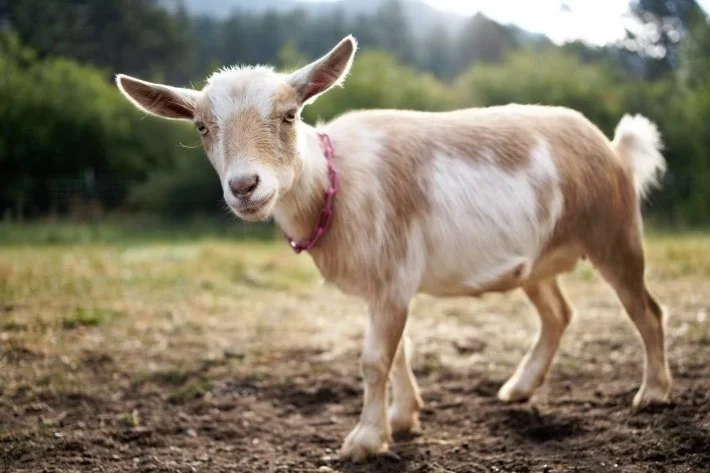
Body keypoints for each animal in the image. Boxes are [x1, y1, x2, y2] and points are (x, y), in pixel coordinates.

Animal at [116, 35, 671, 461]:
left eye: (290, 115)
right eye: (201, 127)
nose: (245, 186)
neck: (333, 184)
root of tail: (614, 149)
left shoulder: (390, 276)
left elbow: (373, 360)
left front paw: (364, 441)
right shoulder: (389, 285)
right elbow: (399, 352)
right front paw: (403, 419)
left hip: (616, 232)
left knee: (647, 310)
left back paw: (653, 394)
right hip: (538, 261)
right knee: (558, 313)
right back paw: (520, 387)